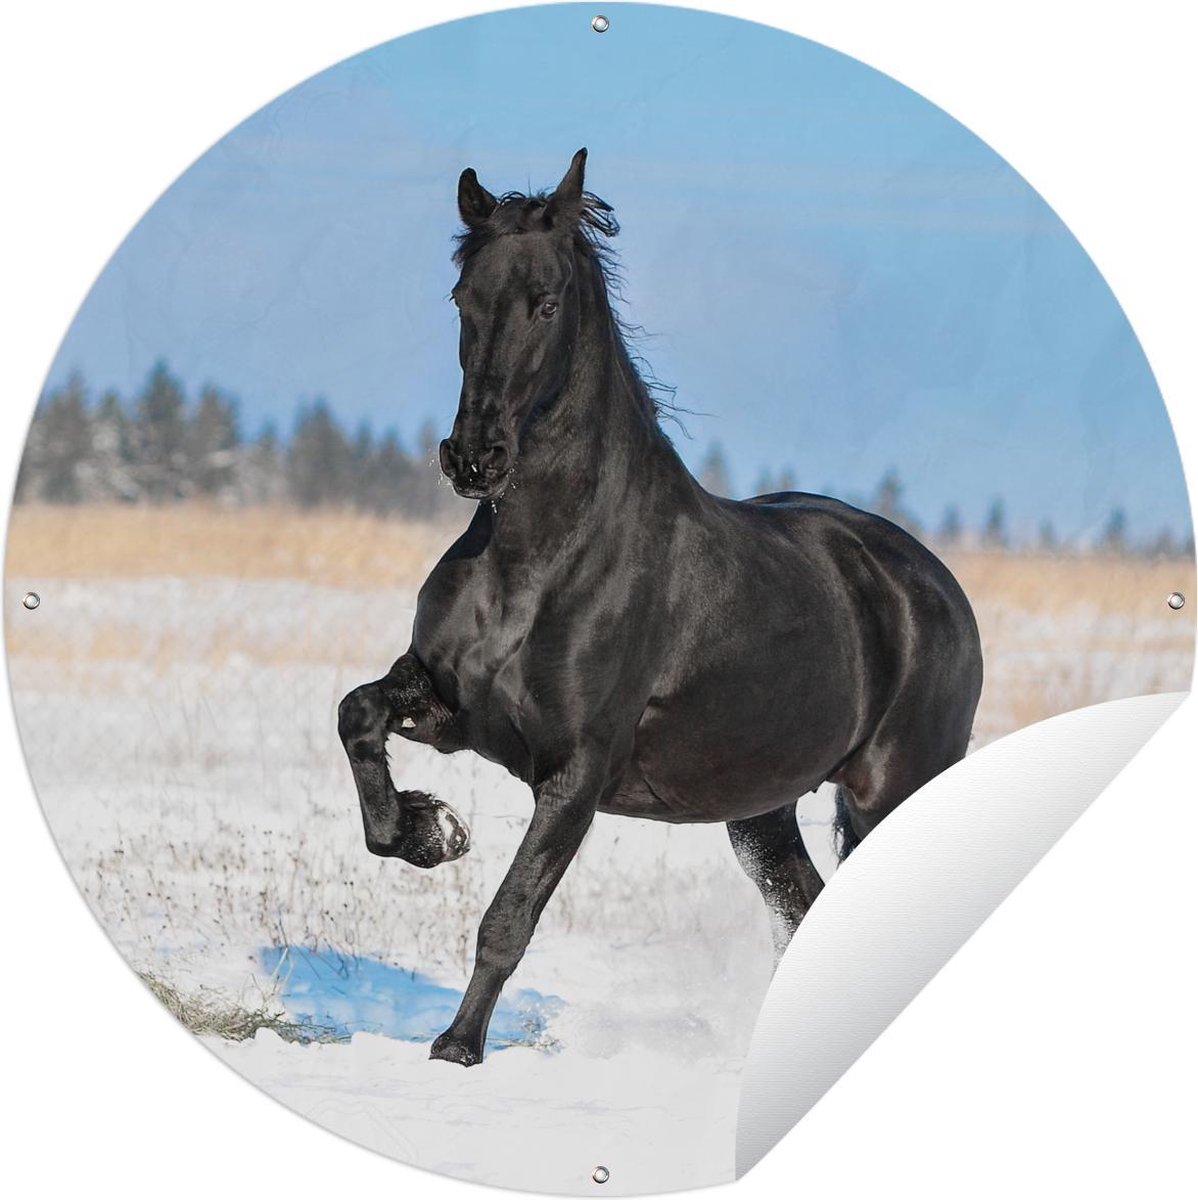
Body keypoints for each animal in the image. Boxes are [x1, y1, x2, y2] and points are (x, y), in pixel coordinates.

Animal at [337, 149, 983, 1066]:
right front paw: (431, 831)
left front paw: (456, 1049)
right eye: (463, 298)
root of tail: (935, 589)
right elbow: (357, 715)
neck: (543, 560)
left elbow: (510, 917)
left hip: (894, 791)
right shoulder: (450, 705)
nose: (473, 458)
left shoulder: (576, 770)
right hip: (763, 813)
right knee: (806, 909)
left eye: (545, 303)